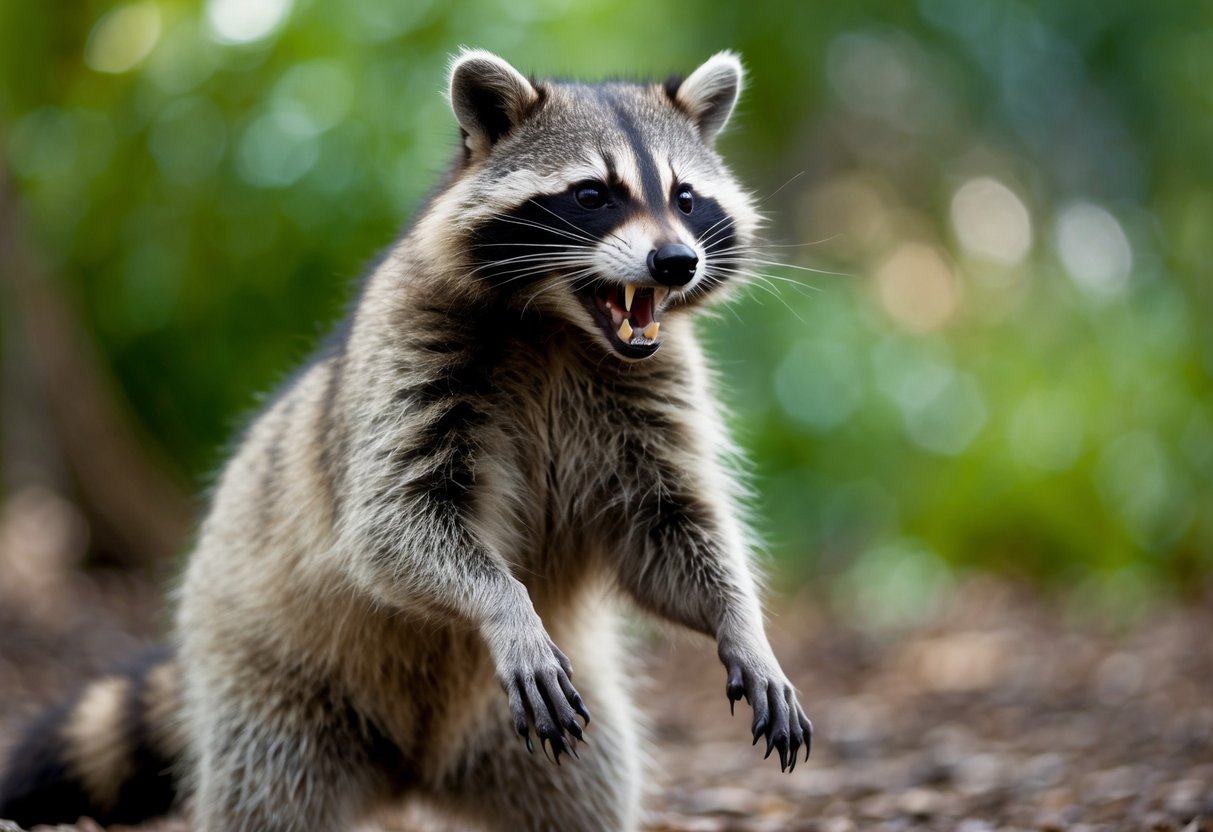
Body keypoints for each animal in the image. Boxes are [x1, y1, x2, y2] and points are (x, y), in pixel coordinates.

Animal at [0, 49, 811, 832]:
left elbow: (666, 529)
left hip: (535, 747)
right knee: (266, 792)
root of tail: (411, 771)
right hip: (266, 685)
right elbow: (393, 523)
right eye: (592, 195)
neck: (561, 328)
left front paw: (742, 623)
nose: (676, 262)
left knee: (587, 798)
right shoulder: (409, 348)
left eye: (685, 198)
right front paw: (505, 607)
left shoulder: (653, 385)